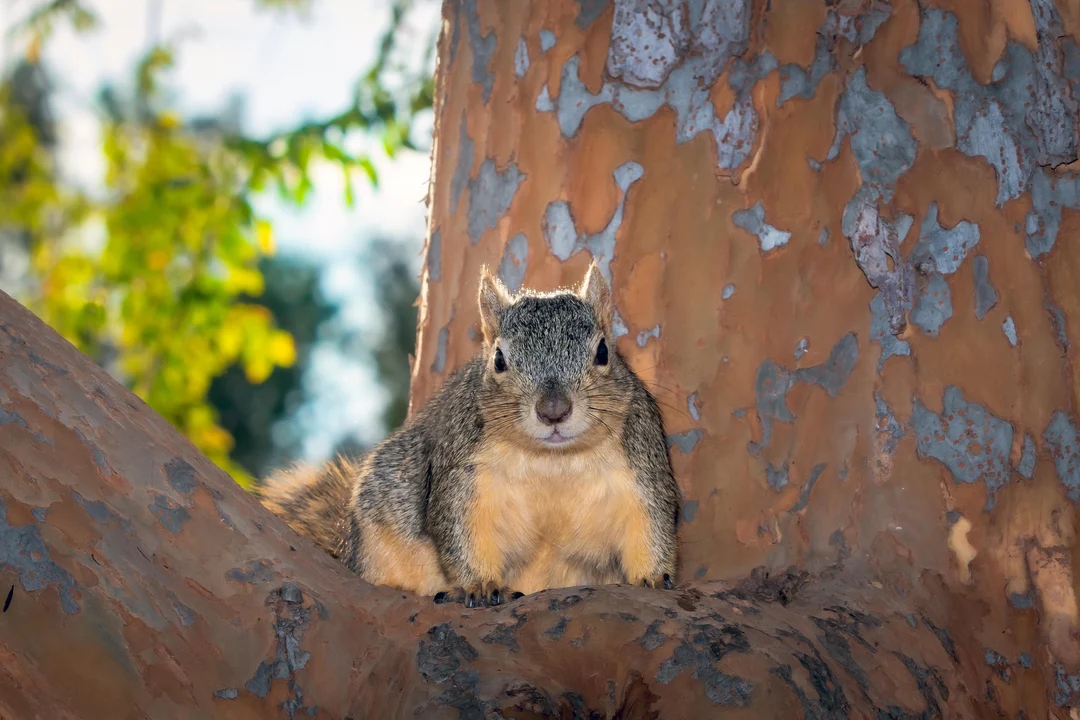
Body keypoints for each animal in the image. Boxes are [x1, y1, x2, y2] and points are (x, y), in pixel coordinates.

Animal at [256, 261, 682, 608]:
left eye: (603, 352)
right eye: (498, 359)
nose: (553, 411)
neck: (553, 461)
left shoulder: (642, 471)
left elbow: (651, 525)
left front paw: (653, 577)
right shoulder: (461, 477)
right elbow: (460, 533)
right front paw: (480, 585)